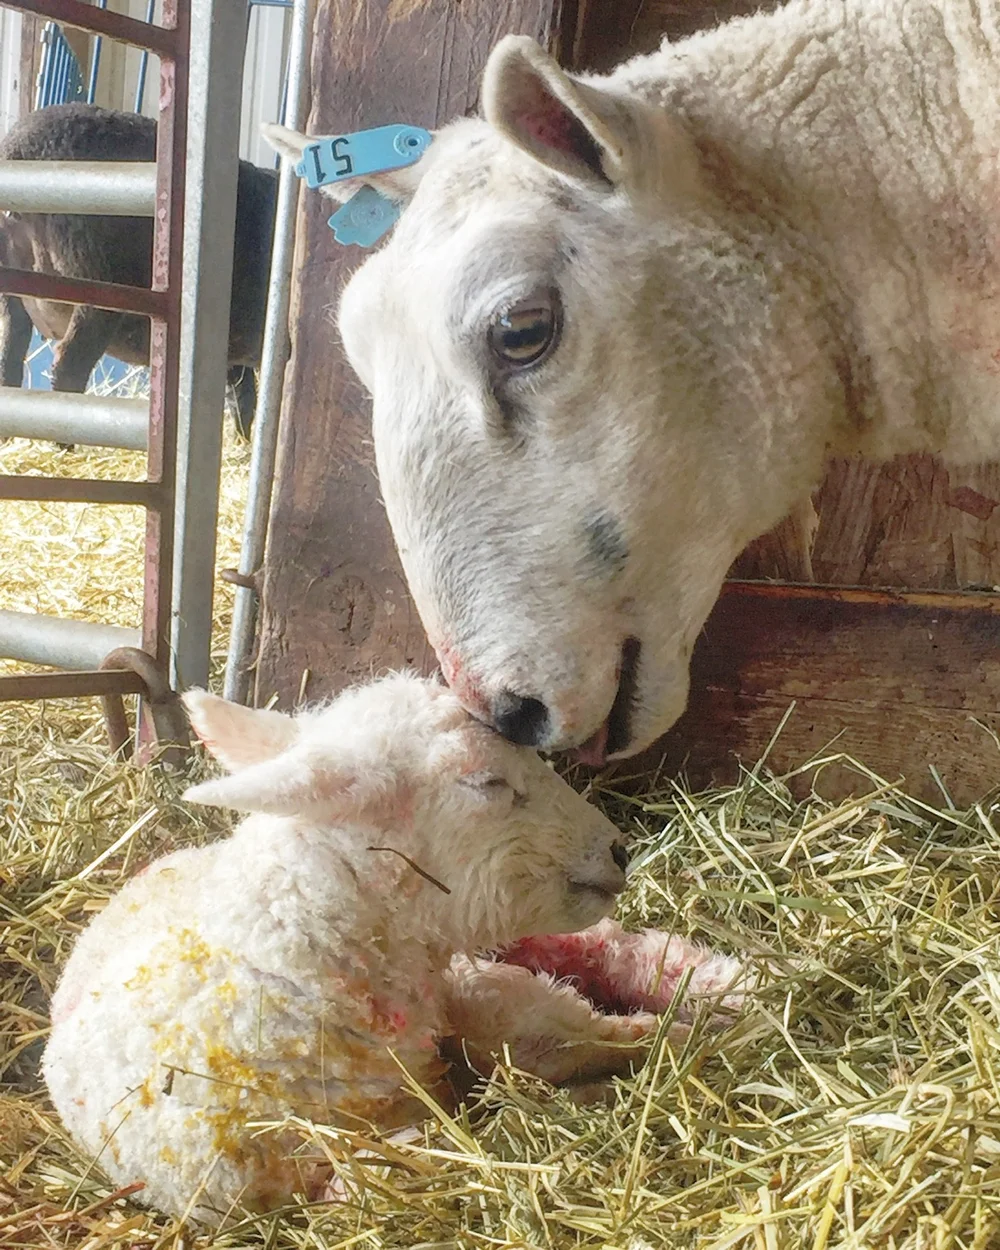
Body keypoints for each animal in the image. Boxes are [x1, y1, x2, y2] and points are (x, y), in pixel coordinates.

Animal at [0, 103, 277, 440]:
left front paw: (243, 442)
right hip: (94, 286)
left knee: (10, 360)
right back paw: (64, 444)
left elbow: (241, 397)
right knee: (68, 369)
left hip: (15, 295)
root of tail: (18, 150)